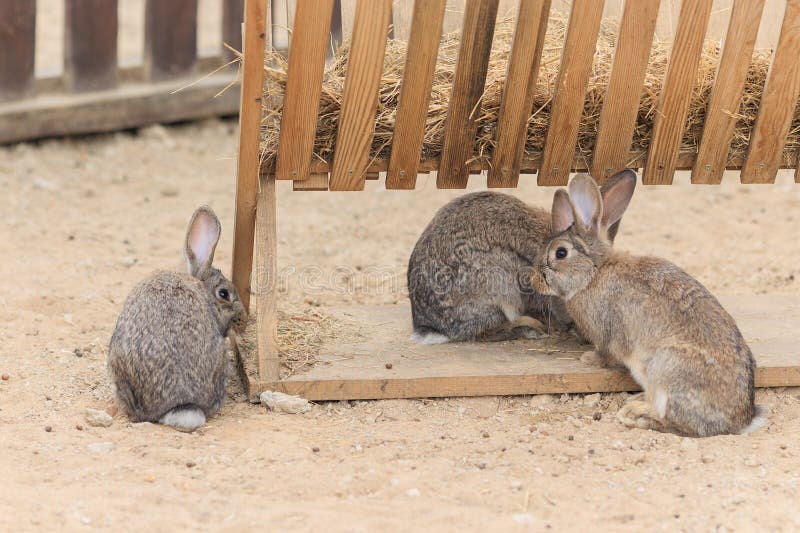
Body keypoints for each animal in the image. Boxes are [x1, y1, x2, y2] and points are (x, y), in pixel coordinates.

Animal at [530, 171, 765, 437]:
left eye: (560, 253)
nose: (533, 280)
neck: (594, 273)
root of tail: (741, 421)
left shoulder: (606, 333)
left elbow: (605, 353)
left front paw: (588, 359)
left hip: (665, 369)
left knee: (676, 423)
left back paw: (635, 415)